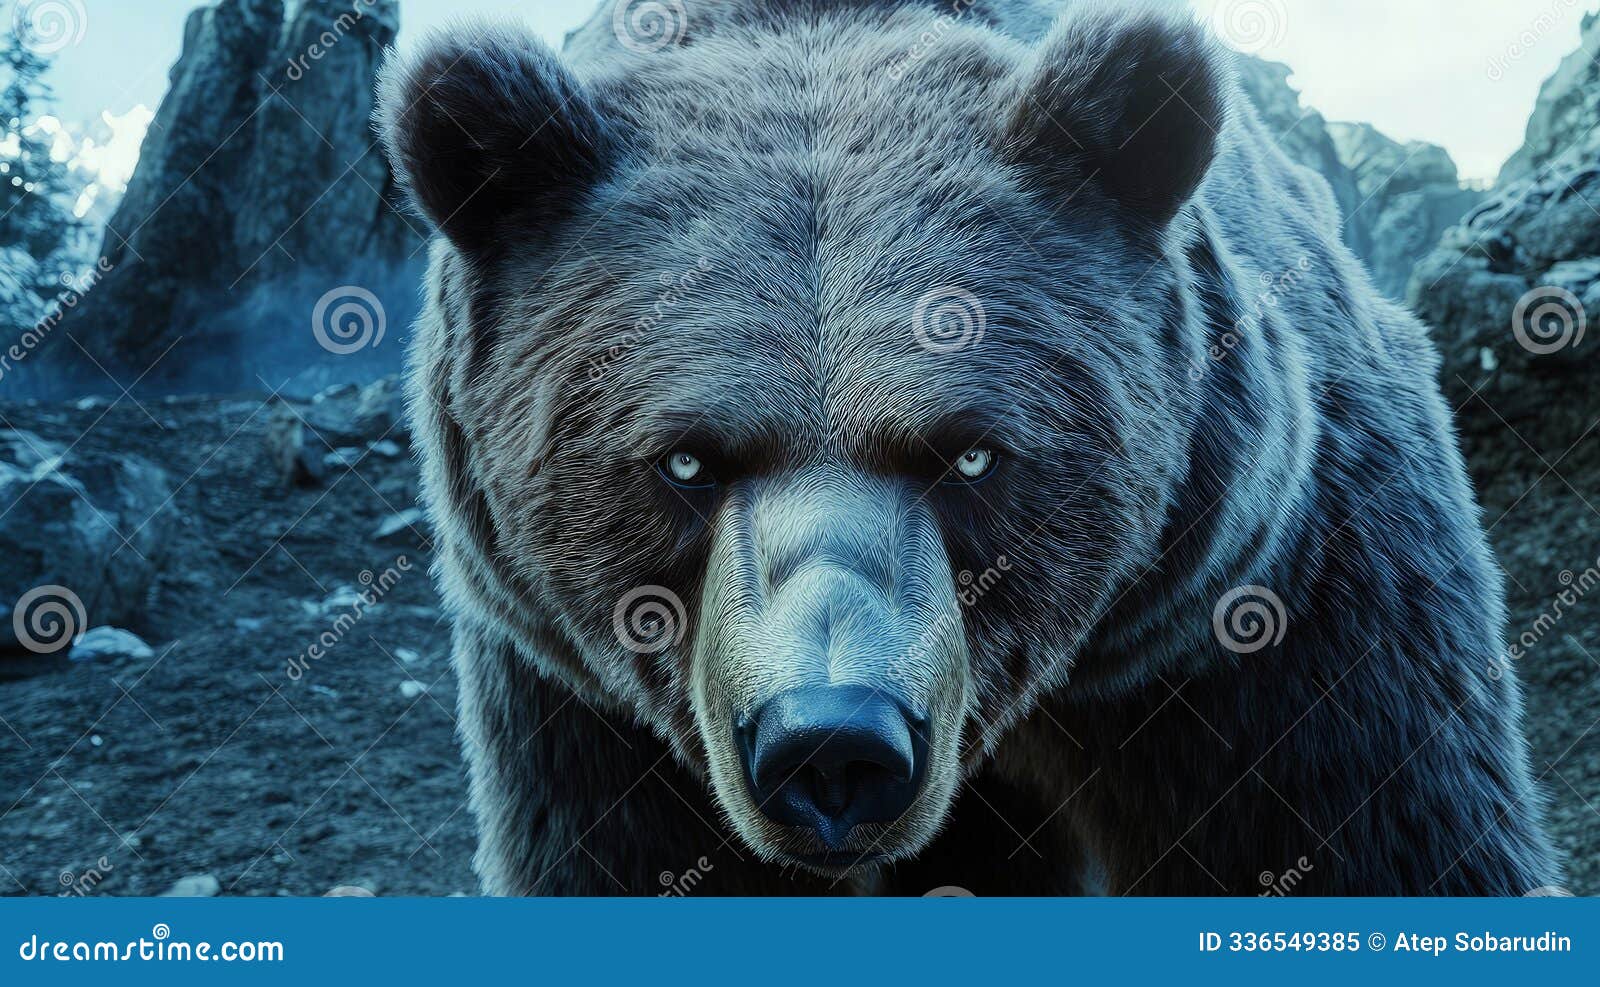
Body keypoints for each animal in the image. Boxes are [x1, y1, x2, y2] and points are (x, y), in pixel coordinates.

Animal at [375, 0, 1560, 895]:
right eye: (684, 461)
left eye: (972, 455)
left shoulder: (1264, 612)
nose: (833, 744)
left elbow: (1374, 837)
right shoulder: (584, 704)